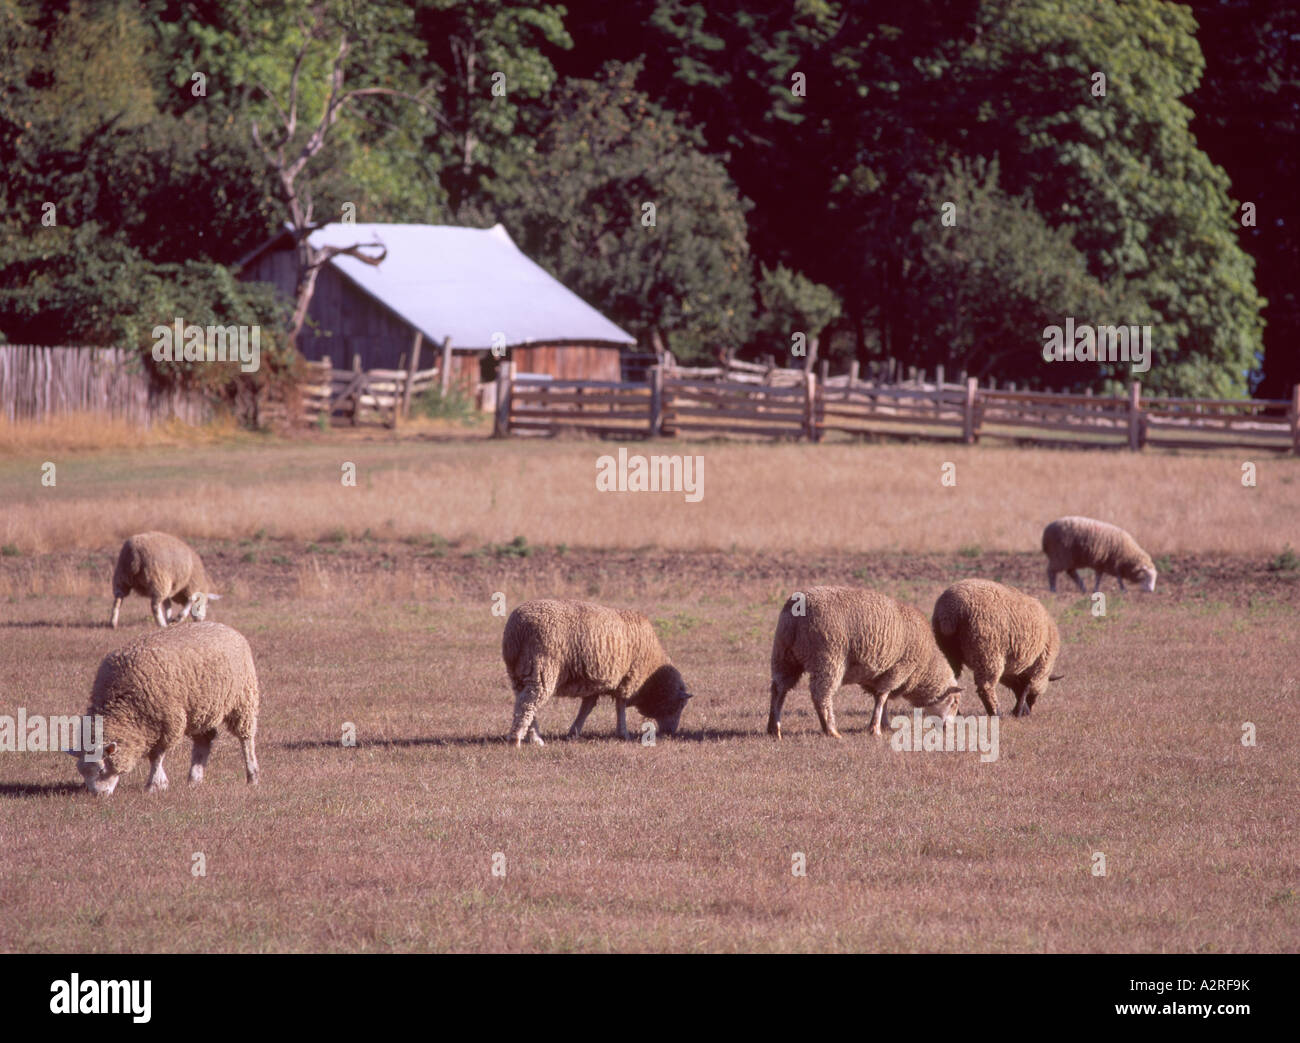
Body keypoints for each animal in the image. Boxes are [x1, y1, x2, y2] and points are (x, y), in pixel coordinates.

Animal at [67, 622, 260, 795]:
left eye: (101, 769)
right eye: (82, 772)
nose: (98, 795)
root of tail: (227, 627)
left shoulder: (169, 723)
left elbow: (156, 756)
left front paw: (155, 784)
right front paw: (161, 783)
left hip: (243, 700)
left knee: (246, 739)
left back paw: (252, 776)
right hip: (203, 709)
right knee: (204, 741)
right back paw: (194, 779)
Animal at [503, 598, 694, 747]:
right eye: (678, 706)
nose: (670, 733)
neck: (652, 673)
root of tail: (517, 628)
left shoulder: (595, 683)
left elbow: (586, 708)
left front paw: (573, 732)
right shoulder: (627, 680)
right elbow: (620, 707)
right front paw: (623, 733)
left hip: (519, 674)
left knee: (525, 704)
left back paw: (534, 738)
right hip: (542, 669)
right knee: (527, 705)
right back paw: (518, 739)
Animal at [767, 586, 962, 740]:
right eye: (954, 703)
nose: (948, 729)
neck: (926, 665)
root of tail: (798, 607)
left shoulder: (880, 674)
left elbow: (880, 699)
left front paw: (884, 724)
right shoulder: (898, 670)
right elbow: (882, 698)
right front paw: (876, 729)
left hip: (784, 655)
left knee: (779, 690)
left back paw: (774, 728)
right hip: (828, 658)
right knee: (820, 695)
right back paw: (831, 730)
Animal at [931, 579, 1062, 719]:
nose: (1028, 713)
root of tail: (950, 611)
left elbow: (1020, 688)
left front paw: (1018, 710)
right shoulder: (1038, 665)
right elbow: (1025, 688)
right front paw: (1019, 711)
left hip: (949, 651)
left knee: (951, 681)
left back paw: (957, 713)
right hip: (987, 652)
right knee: (986, 686)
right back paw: (996, 713)